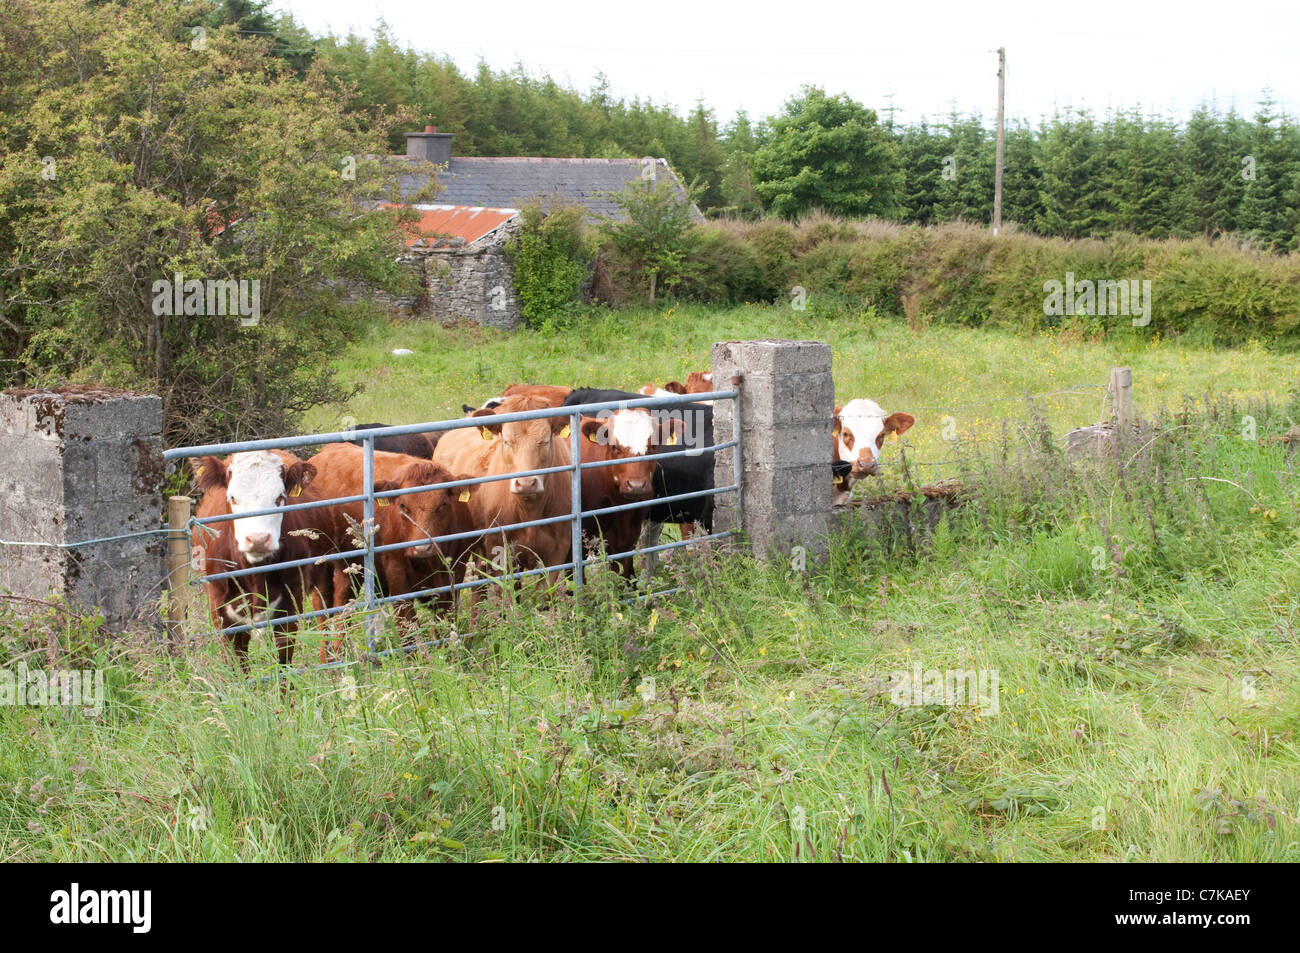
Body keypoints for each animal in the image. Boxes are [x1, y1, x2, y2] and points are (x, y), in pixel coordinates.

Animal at [189, 450, 332, 670]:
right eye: (232, 498)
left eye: (280, 497)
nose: (258, 539)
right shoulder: (220, 610)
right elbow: (236, 663)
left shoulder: (291, 602)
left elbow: (283, 658)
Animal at [432, 395, 573, 587]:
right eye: (507, 441)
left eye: (544, 441)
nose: (526, 483)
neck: (530, 510)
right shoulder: (497, 550)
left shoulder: (558, 551)